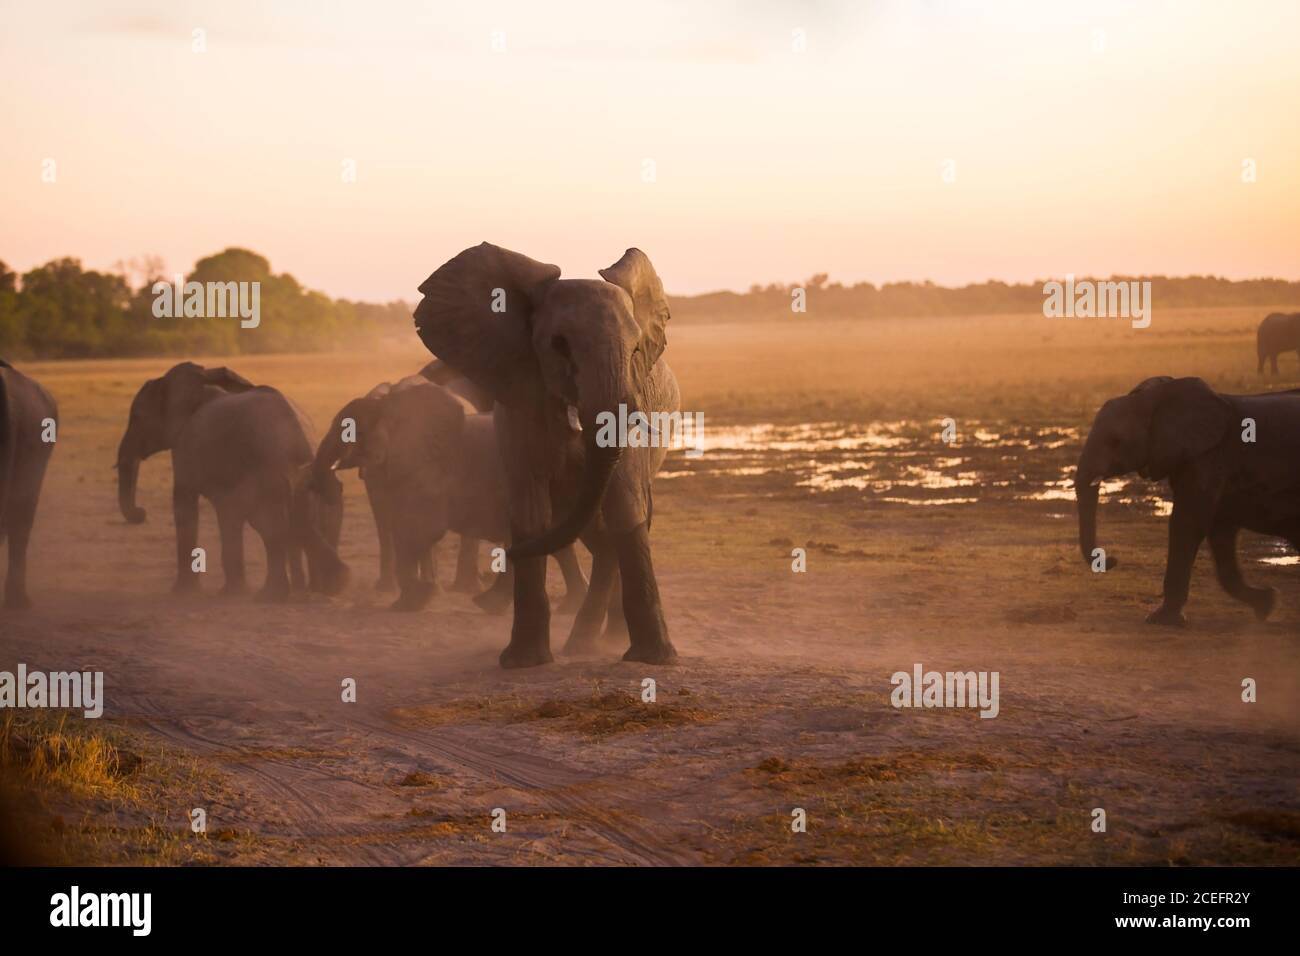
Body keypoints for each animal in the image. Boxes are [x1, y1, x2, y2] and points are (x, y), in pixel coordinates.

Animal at [116, 361, 348, 599]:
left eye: (136, 417)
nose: (141, 513)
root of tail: (297, 436)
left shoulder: (185, 446)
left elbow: (185, 502)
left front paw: (185, 593)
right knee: (294, 520)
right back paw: (317, 589)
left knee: (272, 524)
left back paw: (275, 595)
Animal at [311, 374, 588, 612]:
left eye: (347, 431)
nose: (331, 489)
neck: (386, 404)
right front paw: (420, 597)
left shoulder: (429, 469)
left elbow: (418, 529)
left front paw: (410, 602)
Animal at [414, 243, 681, 668]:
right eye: (559, 344)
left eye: (637, 349)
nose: (503, 555)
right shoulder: (519, 403)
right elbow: (530, 513)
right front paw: (523, 662)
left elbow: (625, 509)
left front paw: (655, 661)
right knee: (597, 538)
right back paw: (583, 645)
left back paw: (595, 644)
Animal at [1075, 375, 1300, 625]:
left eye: (1115, 441)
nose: (1112, 560)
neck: (1154, 398)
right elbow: (1219, 529)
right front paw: (1267, 604)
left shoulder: (1209, 458)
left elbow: (1187, 522)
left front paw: (1160, 620)